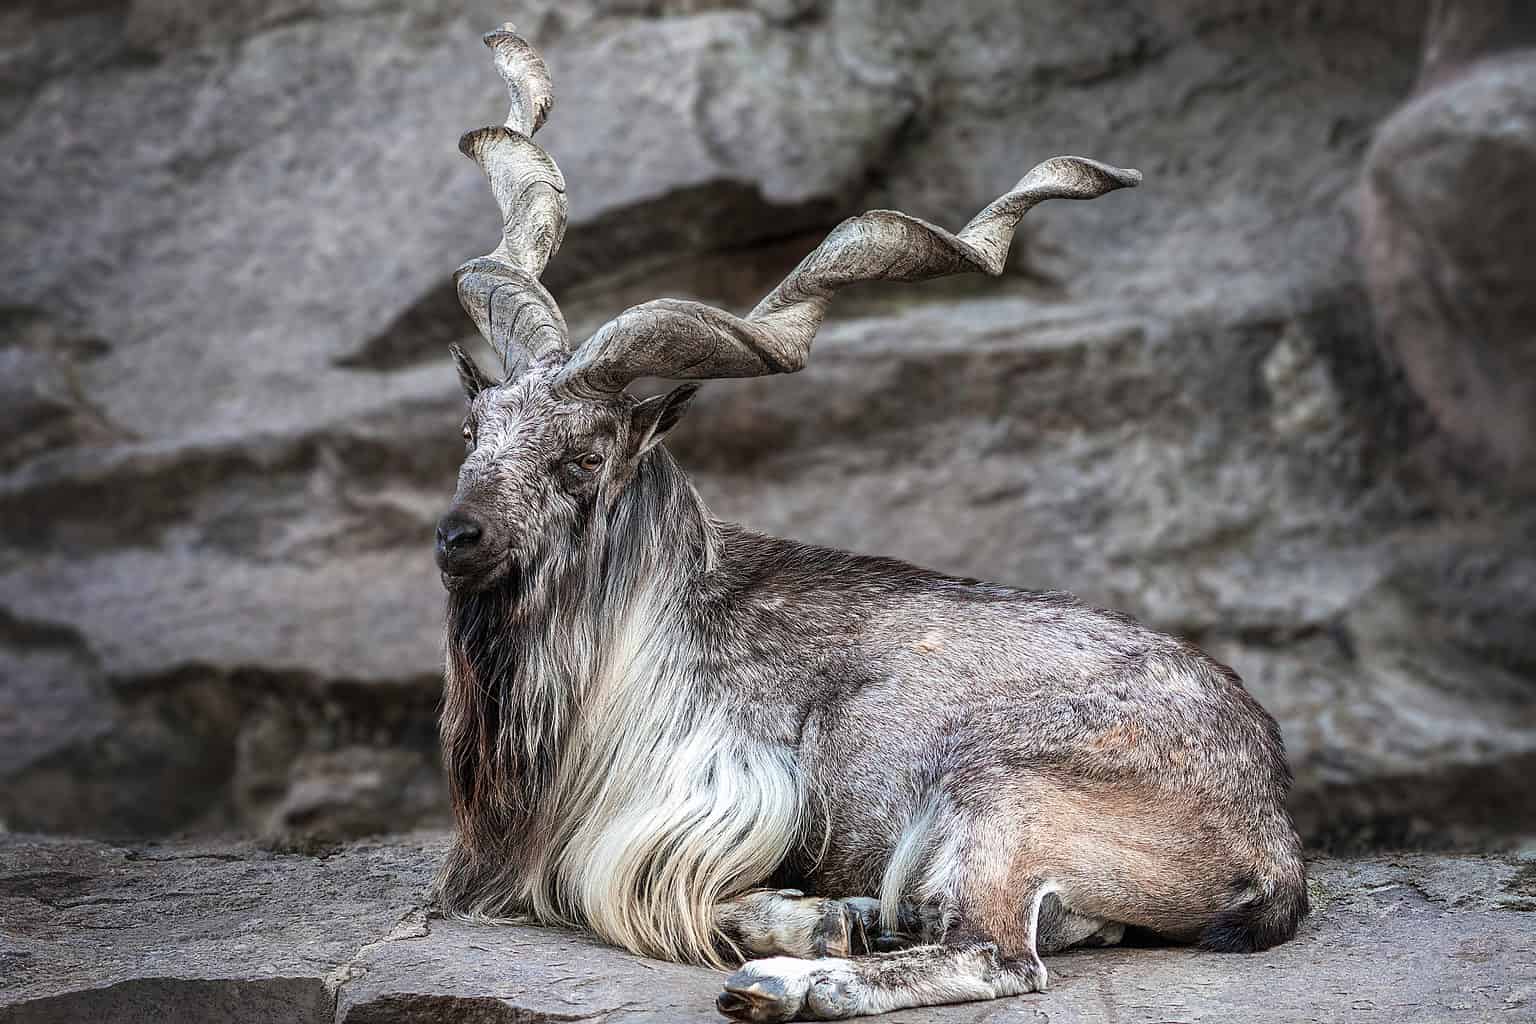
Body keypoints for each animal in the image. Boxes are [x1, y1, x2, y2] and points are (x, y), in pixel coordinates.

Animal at [433, 25, 1307, 1022]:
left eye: (581, 459)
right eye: (474, 429)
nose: (459, 538)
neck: (648, 629)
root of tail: (1269, 829)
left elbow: (621, 892)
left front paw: (808, 924)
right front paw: (829, 914)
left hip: (1000, 792)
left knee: (997, 953)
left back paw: (788, 980)